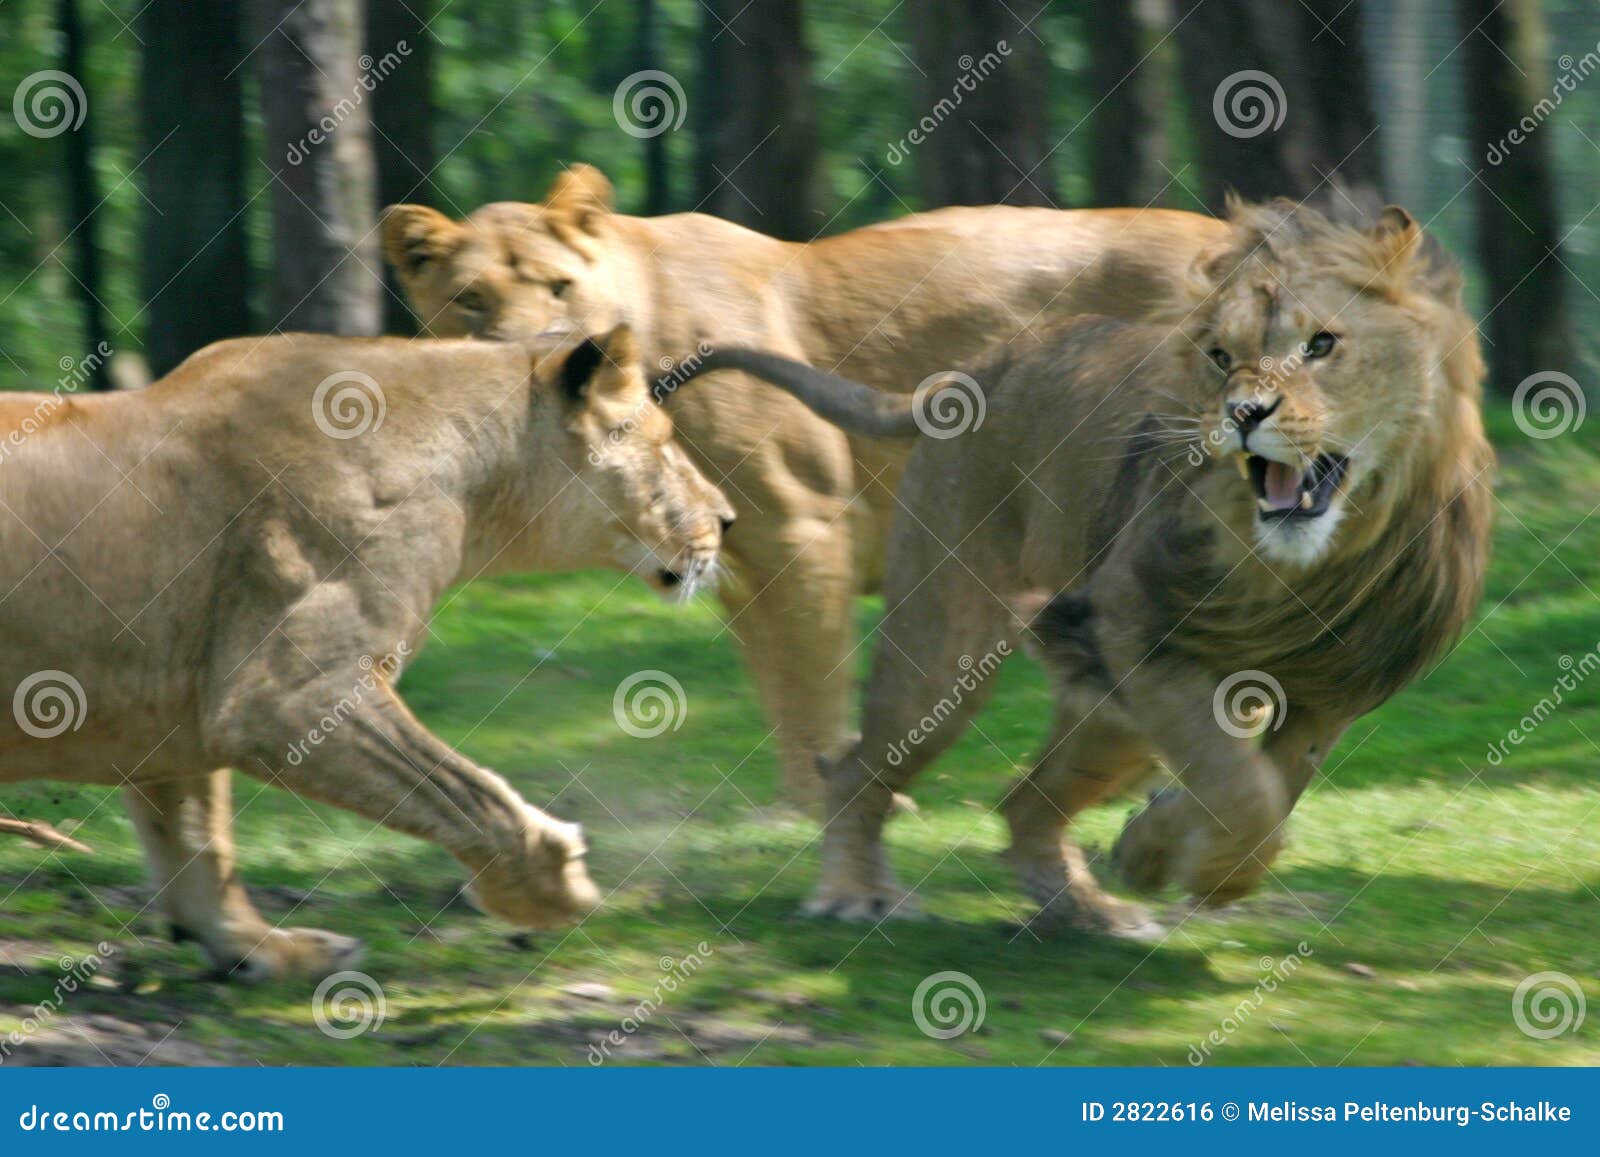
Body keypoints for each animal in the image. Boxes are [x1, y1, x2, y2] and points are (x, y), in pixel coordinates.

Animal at [0, 325, 733, 979]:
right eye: (667, 444)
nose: (727, 519)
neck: (477, 477)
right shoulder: (285, 696)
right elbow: (465, 791)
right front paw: (551, 882)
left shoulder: (173, 709)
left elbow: (197, 847)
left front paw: (268, 954)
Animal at [382, 165, 1229, 804]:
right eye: (470, 299)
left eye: (559, 286)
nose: (537, 349)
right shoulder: (734, 557)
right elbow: (781, 684)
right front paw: (803, 805)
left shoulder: (804, 522)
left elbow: (812, 678)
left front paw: (829, 805)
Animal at [672, 201, 1494, 932]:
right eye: (1221, 357)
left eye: (1322, 344)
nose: (1242, 415)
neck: (1306, 566)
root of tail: (970, 371)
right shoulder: (1140, 633)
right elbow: (1241, 795)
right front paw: (1181, 861)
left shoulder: (1333, 690)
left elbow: (1268, 788)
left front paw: (1156, 847)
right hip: (948, 652)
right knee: (858, 768)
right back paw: (855, 894)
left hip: (1106, 712)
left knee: (1024, 803)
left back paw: (1087, 911)